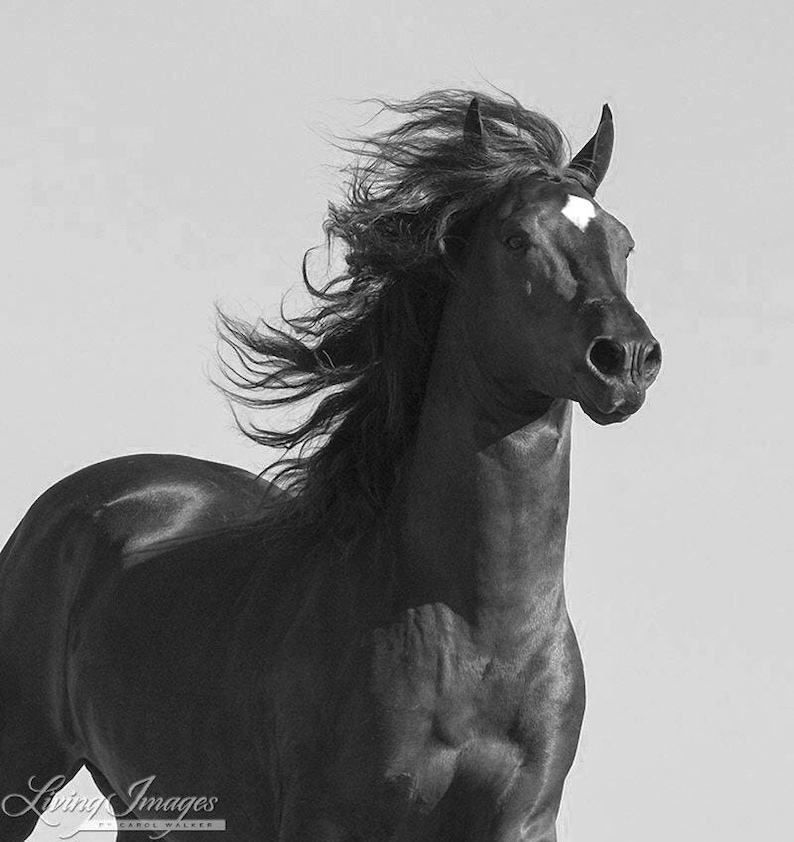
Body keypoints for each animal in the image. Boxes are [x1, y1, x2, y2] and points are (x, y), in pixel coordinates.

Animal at [0, 90, 661, 841]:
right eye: (517, 238)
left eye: (624, 242)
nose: (626, 359)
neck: (477, 640)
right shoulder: (328, 818)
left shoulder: (524, 821)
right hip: (24, 764)